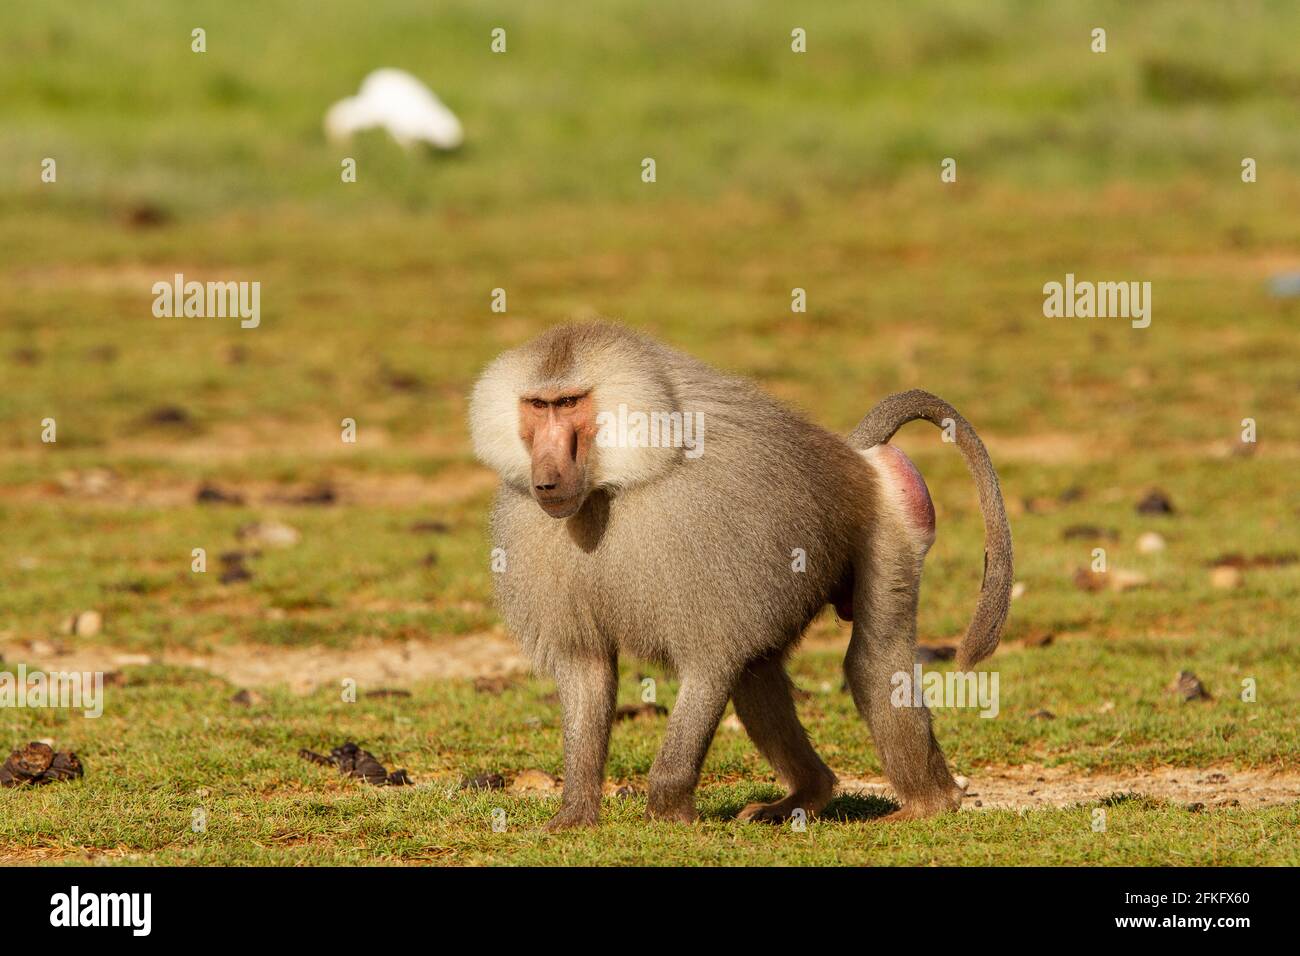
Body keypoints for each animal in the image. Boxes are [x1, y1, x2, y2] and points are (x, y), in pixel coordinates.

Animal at [469, 322, 1012, 829]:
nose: (546, 479)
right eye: (537, 406)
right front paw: (575, 814)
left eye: (569, 403)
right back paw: (804, 796)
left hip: (894, 524)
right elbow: (586, 669)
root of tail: (854, 455)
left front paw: (668, 812)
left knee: (871, 660)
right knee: (759, 671)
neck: (613, 486)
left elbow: (711, 660)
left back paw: (927, 806)